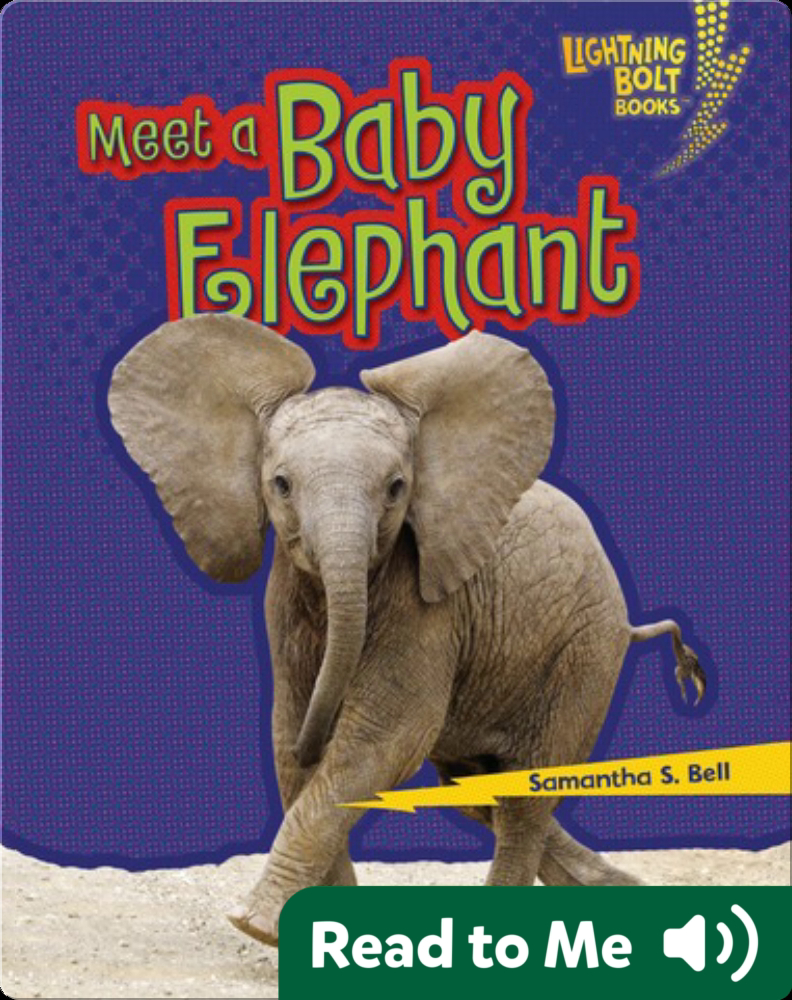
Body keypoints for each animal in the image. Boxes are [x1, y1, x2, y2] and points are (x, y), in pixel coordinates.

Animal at [108, 313, 706, 947]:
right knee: (479, 790)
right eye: (281, 485)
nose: (316, 735)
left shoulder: (429, 606)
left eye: (397, 488)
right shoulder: (284, 603)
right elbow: (289, 738)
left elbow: (383, 737)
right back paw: (624, 890)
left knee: (523, 796)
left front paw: (258, 927)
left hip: (583, 651)